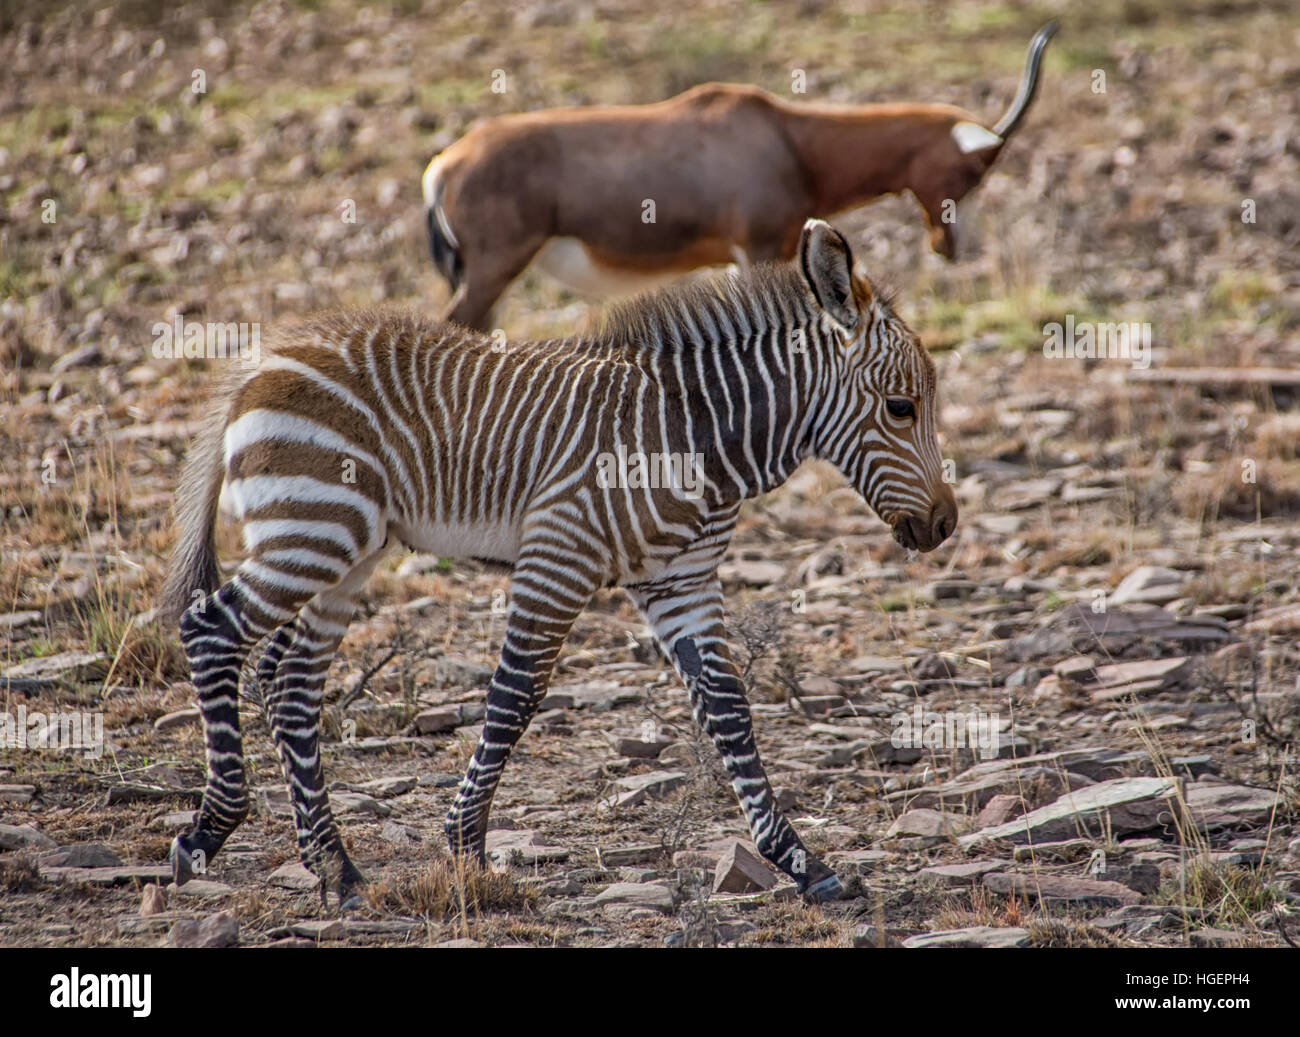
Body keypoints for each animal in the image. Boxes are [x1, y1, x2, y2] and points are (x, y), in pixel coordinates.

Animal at [159, 218, 957, 904]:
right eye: (901, 408)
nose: (945, 524)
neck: (695, 431)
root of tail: (264, 359)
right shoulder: (559, 555)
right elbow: (515, 697)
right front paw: (465, 844)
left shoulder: (681, 580)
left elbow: (730, 711)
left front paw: (801, 862)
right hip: (315, 529)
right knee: (211, 631)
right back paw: (209, 832)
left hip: (344, 550)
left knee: (288, 678)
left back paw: (337, 868)